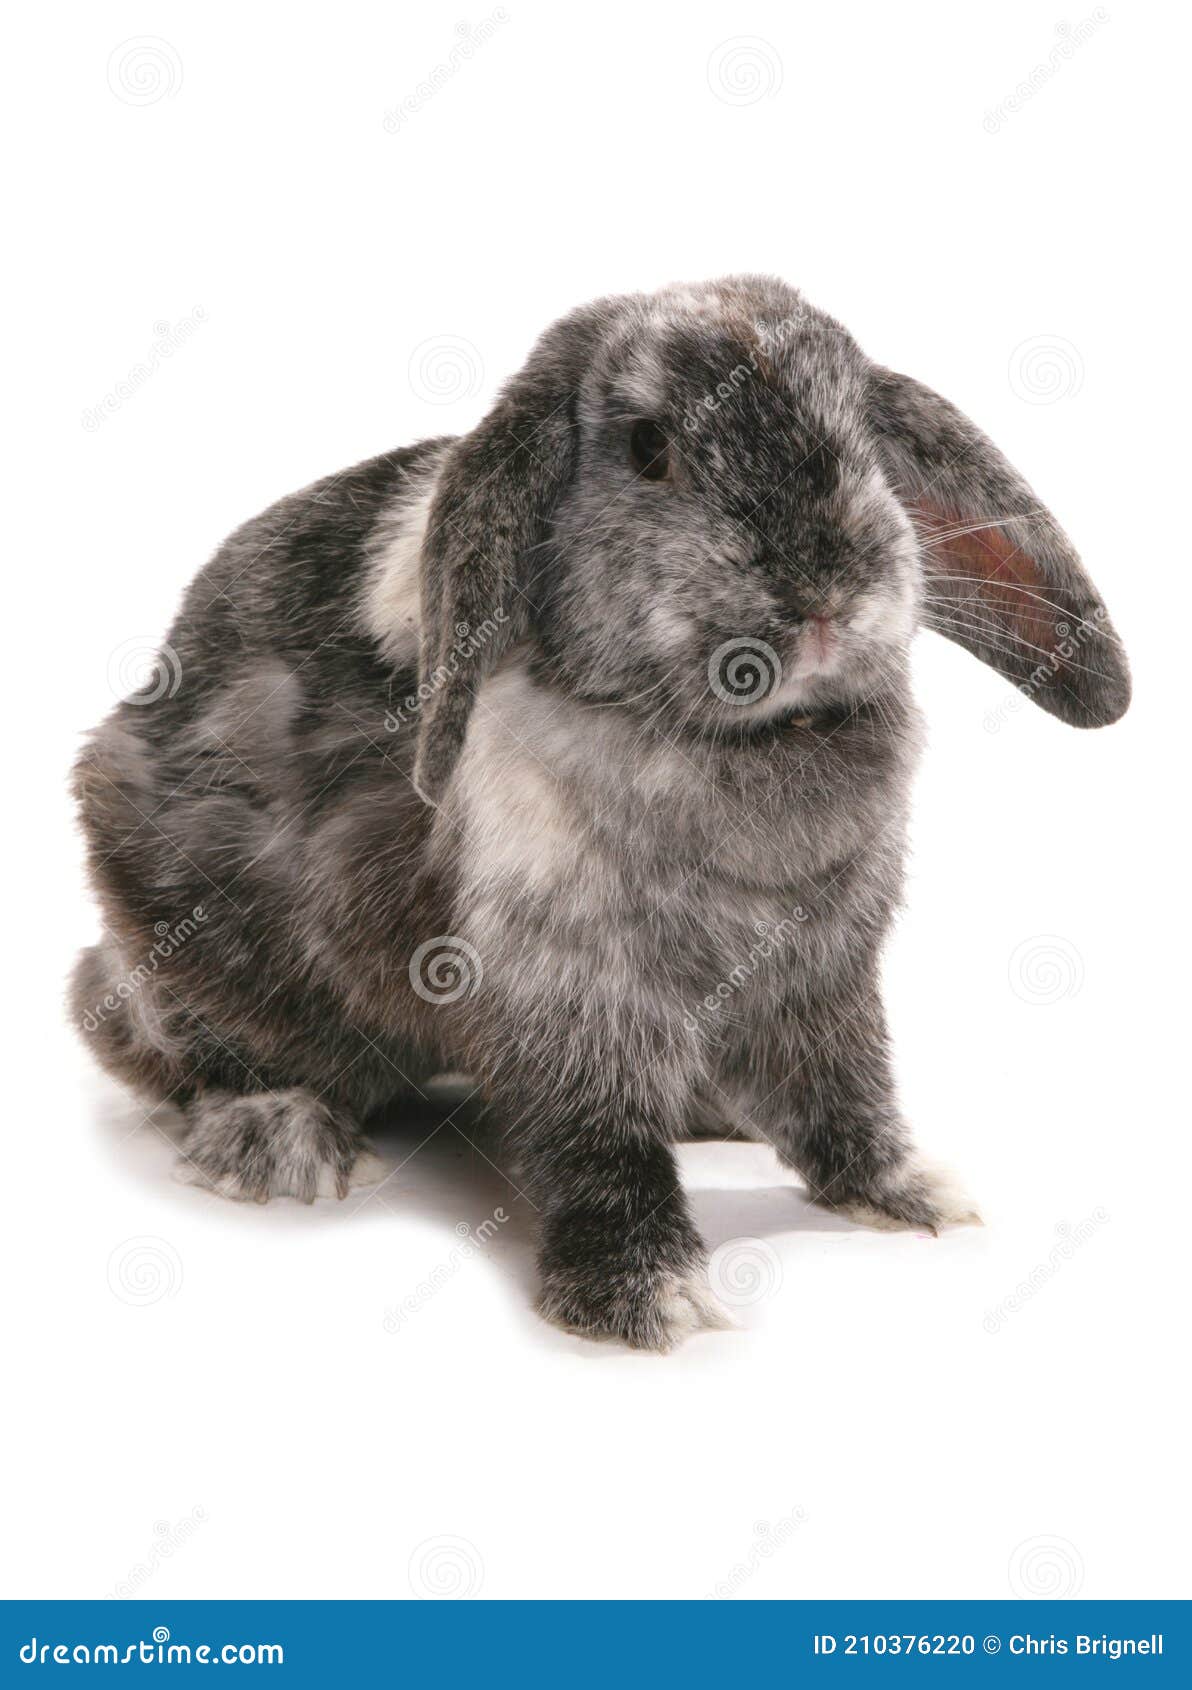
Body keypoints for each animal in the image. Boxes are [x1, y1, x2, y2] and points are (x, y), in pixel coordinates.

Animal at [71, 275, 1130, 1349]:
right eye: (648, 449)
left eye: (866, 439)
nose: (826, 594)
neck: (735, 745)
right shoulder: (569, 989)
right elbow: (598, 1140)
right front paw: (648, 1294)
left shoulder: (825, 977)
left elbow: (847, 1095)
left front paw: (912, 1196)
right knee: (177, 1046)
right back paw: (277, 1139)